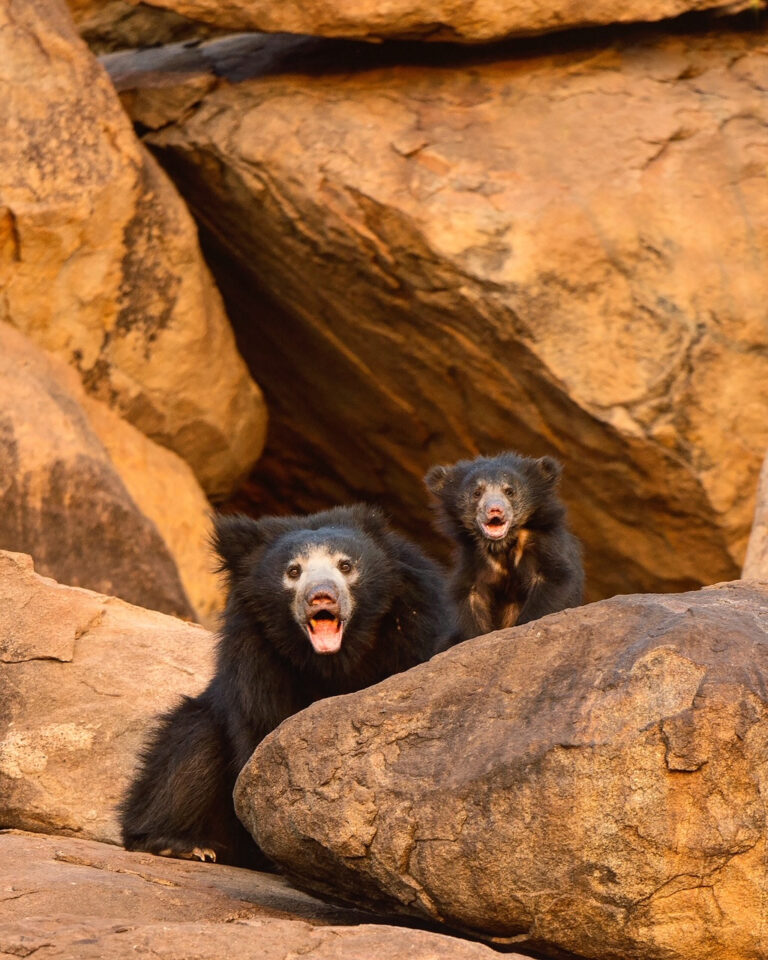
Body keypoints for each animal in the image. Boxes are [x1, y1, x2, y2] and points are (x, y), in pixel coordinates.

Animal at [120, 504, 453, 868]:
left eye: (346, 565)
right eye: (293, 571)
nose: (321, 596)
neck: (333, 658)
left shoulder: (417, 624)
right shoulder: (255, 656)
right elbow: (261, 729)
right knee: (190, 746)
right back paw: (180, 843)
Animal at [424, 451, 584, 642]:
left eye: (509, 492)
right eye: (477, 493)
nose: (495, 509)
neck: (501, 545)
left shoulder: (545, 545)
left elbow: (553, 580)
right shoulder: (474, 559)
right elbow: (470, 599)